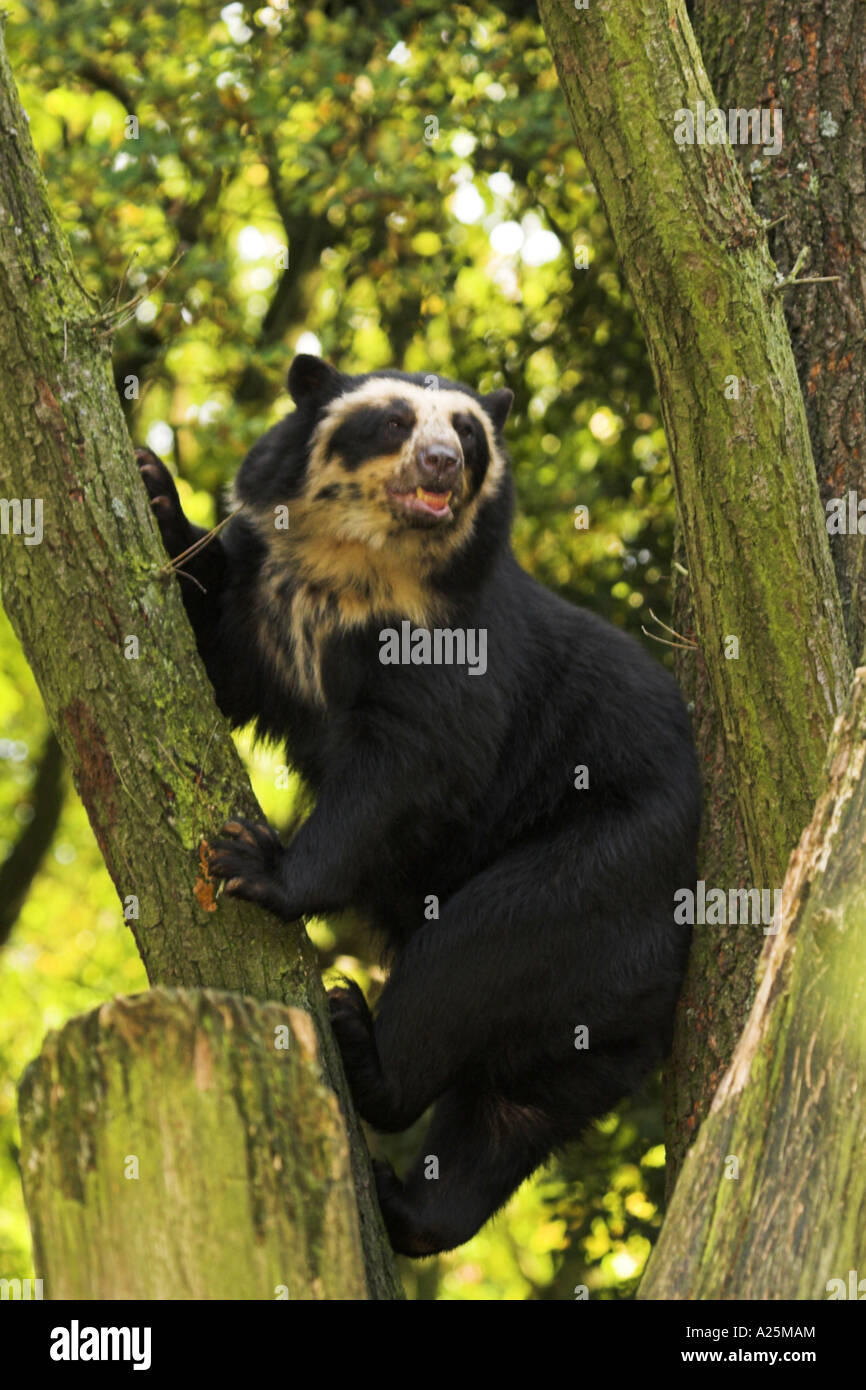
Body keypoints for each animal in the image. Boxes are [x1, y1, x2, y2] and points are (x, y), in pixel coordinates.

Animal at [137, 353, 701, 1256]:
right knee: (521, 1107)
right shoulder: (269, 597)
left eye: (467, 433)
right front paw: (156, 491)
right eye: (395, 422)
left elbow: (413, 770)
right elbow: (219, 659)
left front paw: (254, 863)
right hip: (607, 1005)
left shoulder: (453, 652)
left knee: (478, 950)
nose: (443, 467)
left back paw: (362, 1046)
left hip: (605, 858)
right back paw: (409, 1205)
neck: (359, 565)